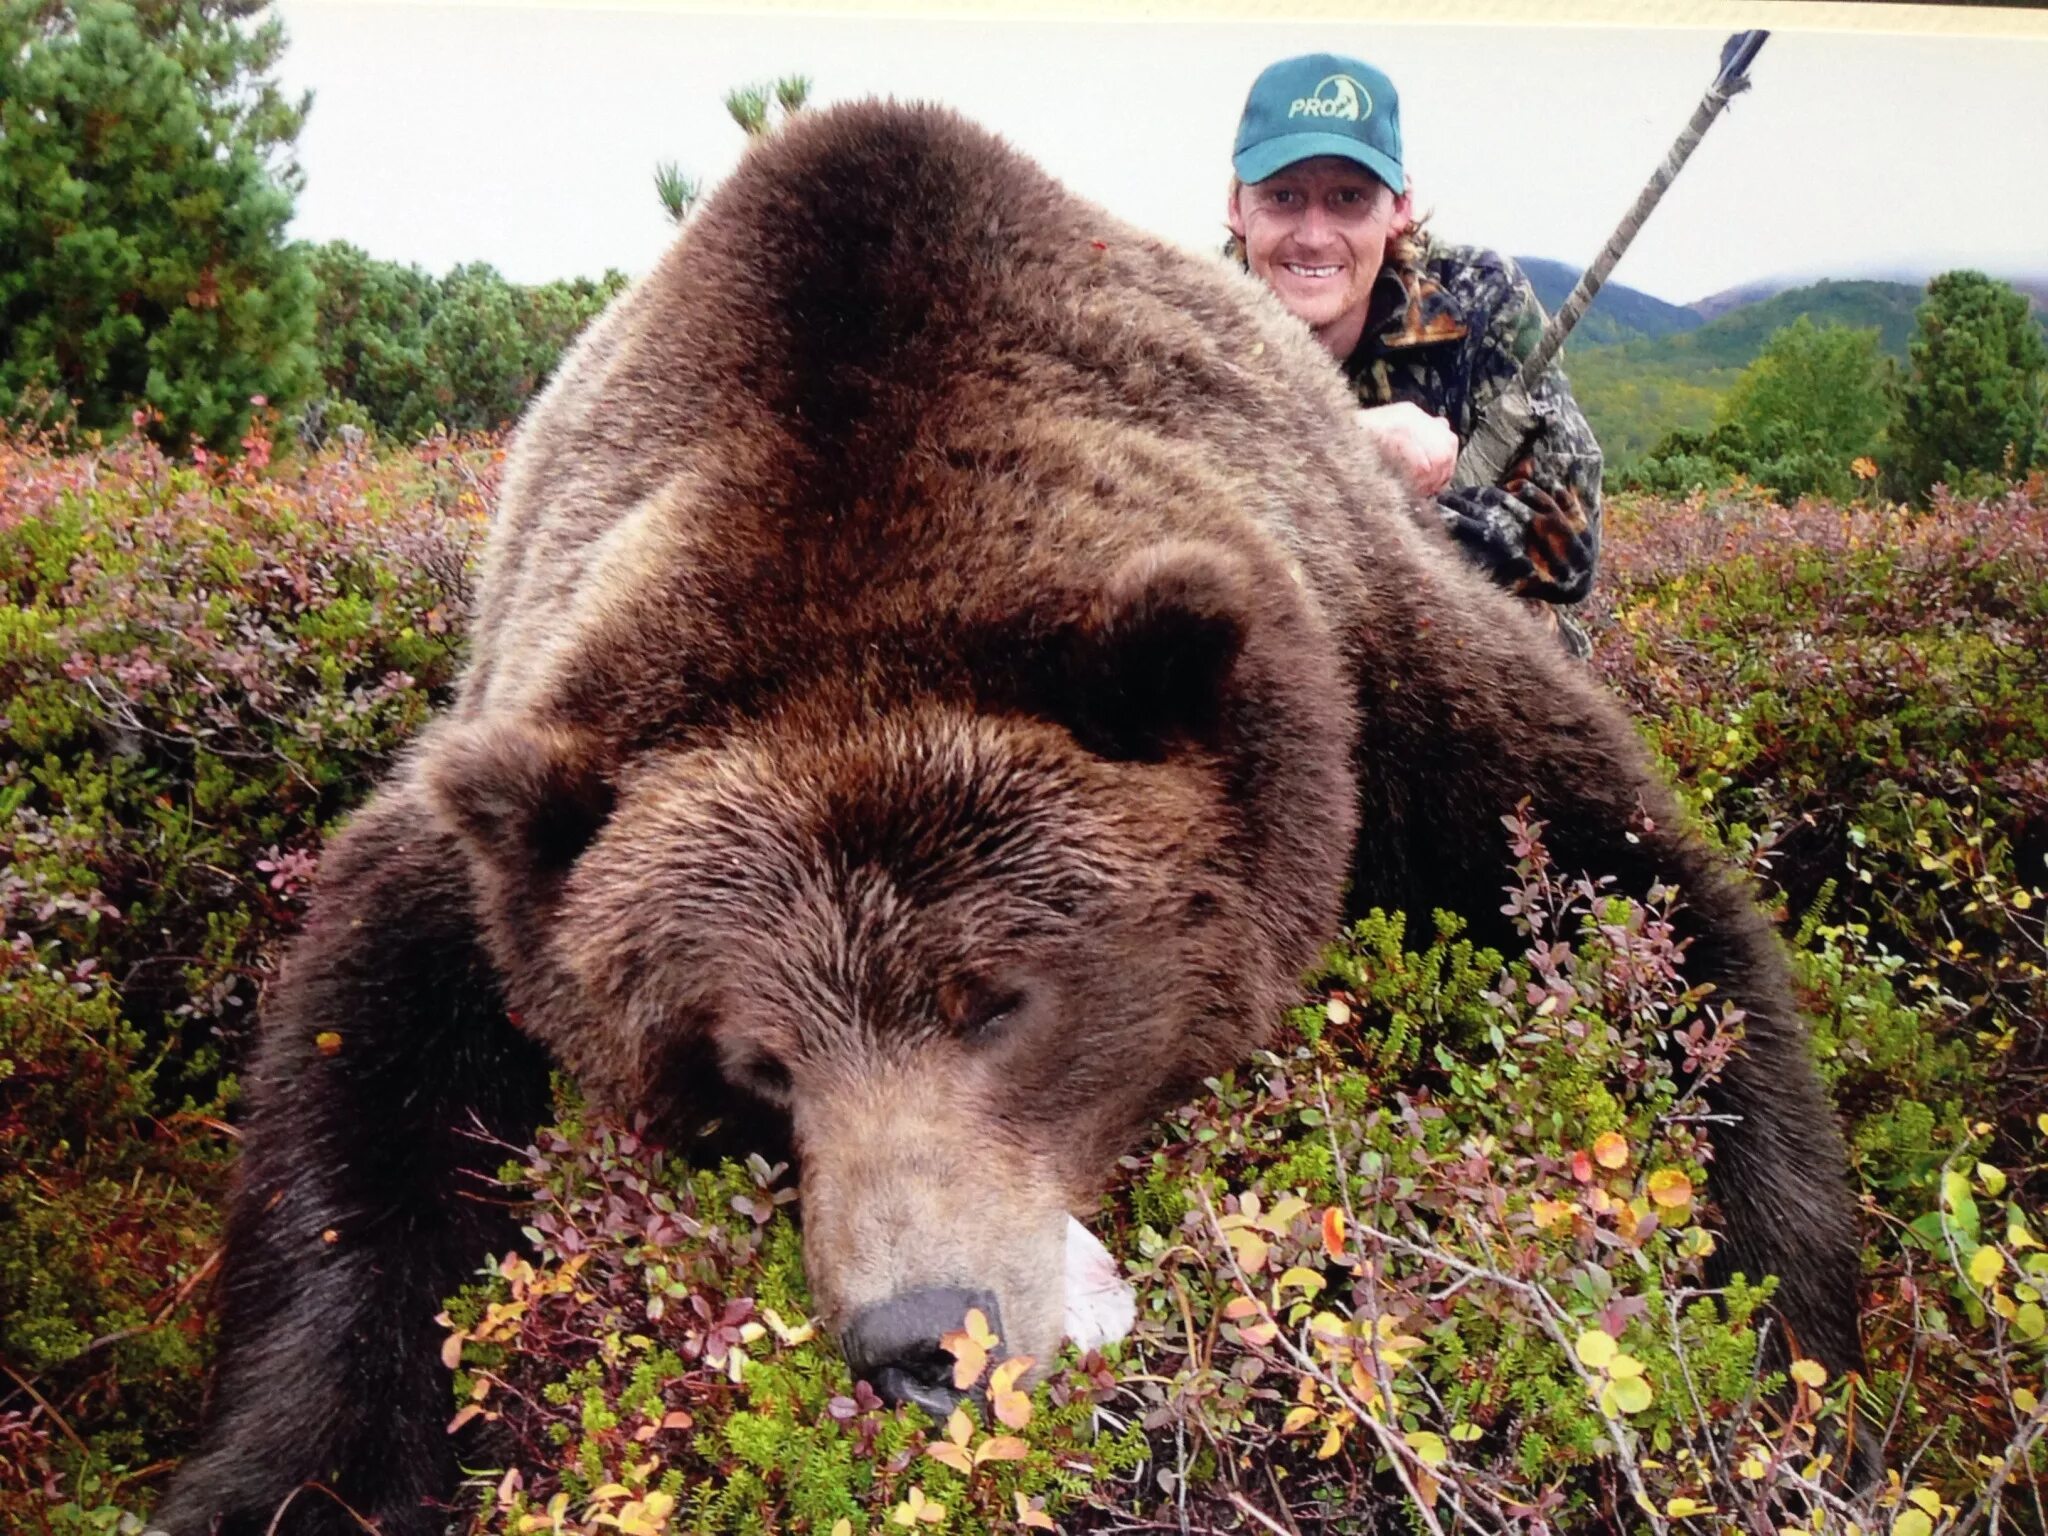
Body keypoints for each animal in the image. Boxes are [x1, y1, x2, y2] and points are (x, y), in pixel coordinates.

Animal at [151, 102, 1867, 1531]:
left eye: (1000, 1001)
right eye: (749, 1063)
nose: (922, 1339)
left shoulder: (1372, 678)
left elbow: (1639, 908)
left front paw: (1780, 1374)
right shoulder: (517, 808)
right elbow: (364, 1077)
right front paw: (287, 1478)